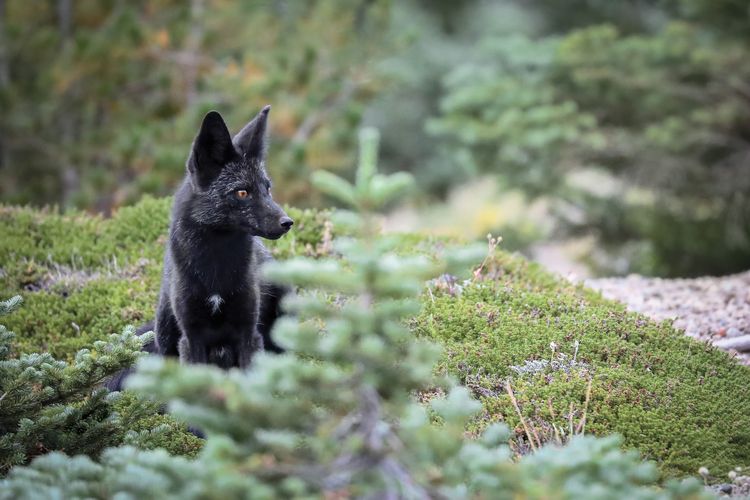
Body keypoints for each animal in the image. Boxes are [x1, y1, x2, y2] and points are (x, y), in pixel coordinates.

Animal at [106, 107, 291, 390]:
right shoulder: (192, 337)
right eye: (242, 193)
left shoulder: (248, 331)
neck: (216, 272)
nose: (287, 222)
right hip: (165, 333)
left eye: (267, 188)